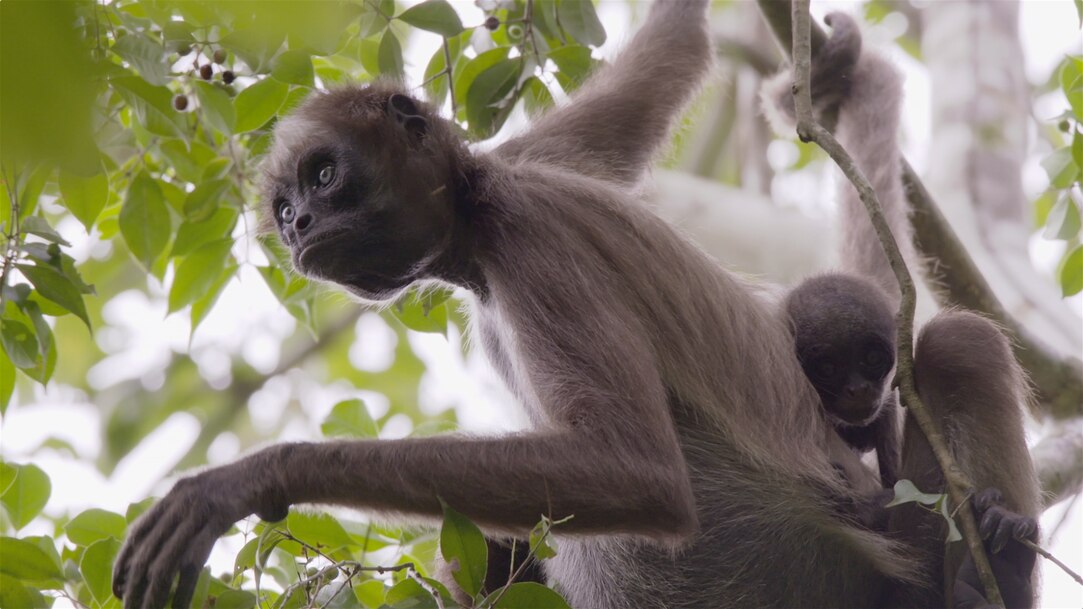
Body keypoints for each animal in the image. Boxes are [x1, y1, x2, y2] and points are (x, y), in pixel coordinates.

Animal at [112, 3, 1040, 608]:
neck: (482, 212)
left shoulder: (534, 236)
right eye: (284, 207)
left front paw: (254, 477)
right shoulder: (527, 161)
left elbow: (638, 473)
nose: (299, 225)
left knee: (958, 342)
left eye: (324, 176)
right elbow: (664, 58)